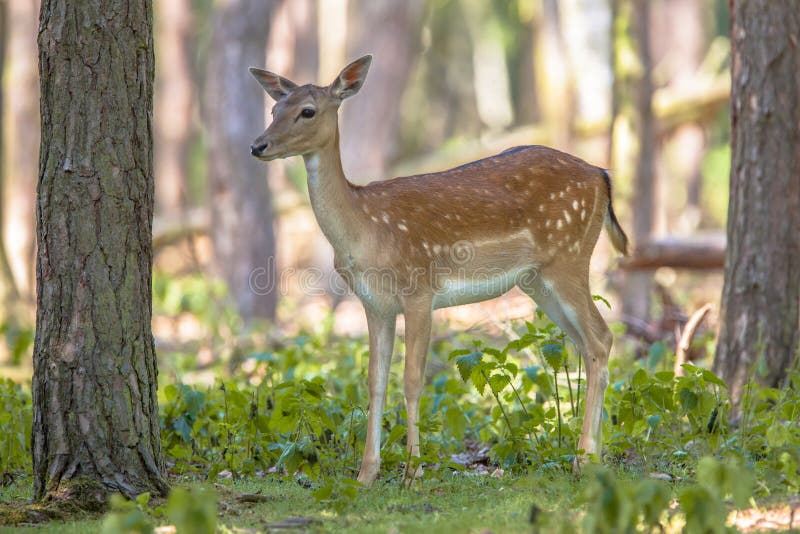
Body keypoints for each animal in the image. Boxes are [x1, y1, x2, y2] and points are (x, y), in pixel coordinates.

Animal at [248, 55, 629, 486]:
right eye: (275, 109)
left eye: (307, 111)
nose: (258, 146)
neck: (365, 231)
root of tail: (602, 175)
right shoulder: (374, 303)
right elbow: (374, 381)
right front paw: (366, 474)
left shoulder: (420, 288)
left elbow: (413, 379)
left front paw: (412, 471)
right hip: (537, 280)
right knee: (587, 344)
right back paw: (591, 456)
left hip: (569, 257)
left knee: (601, 336)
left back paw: (585, 458)